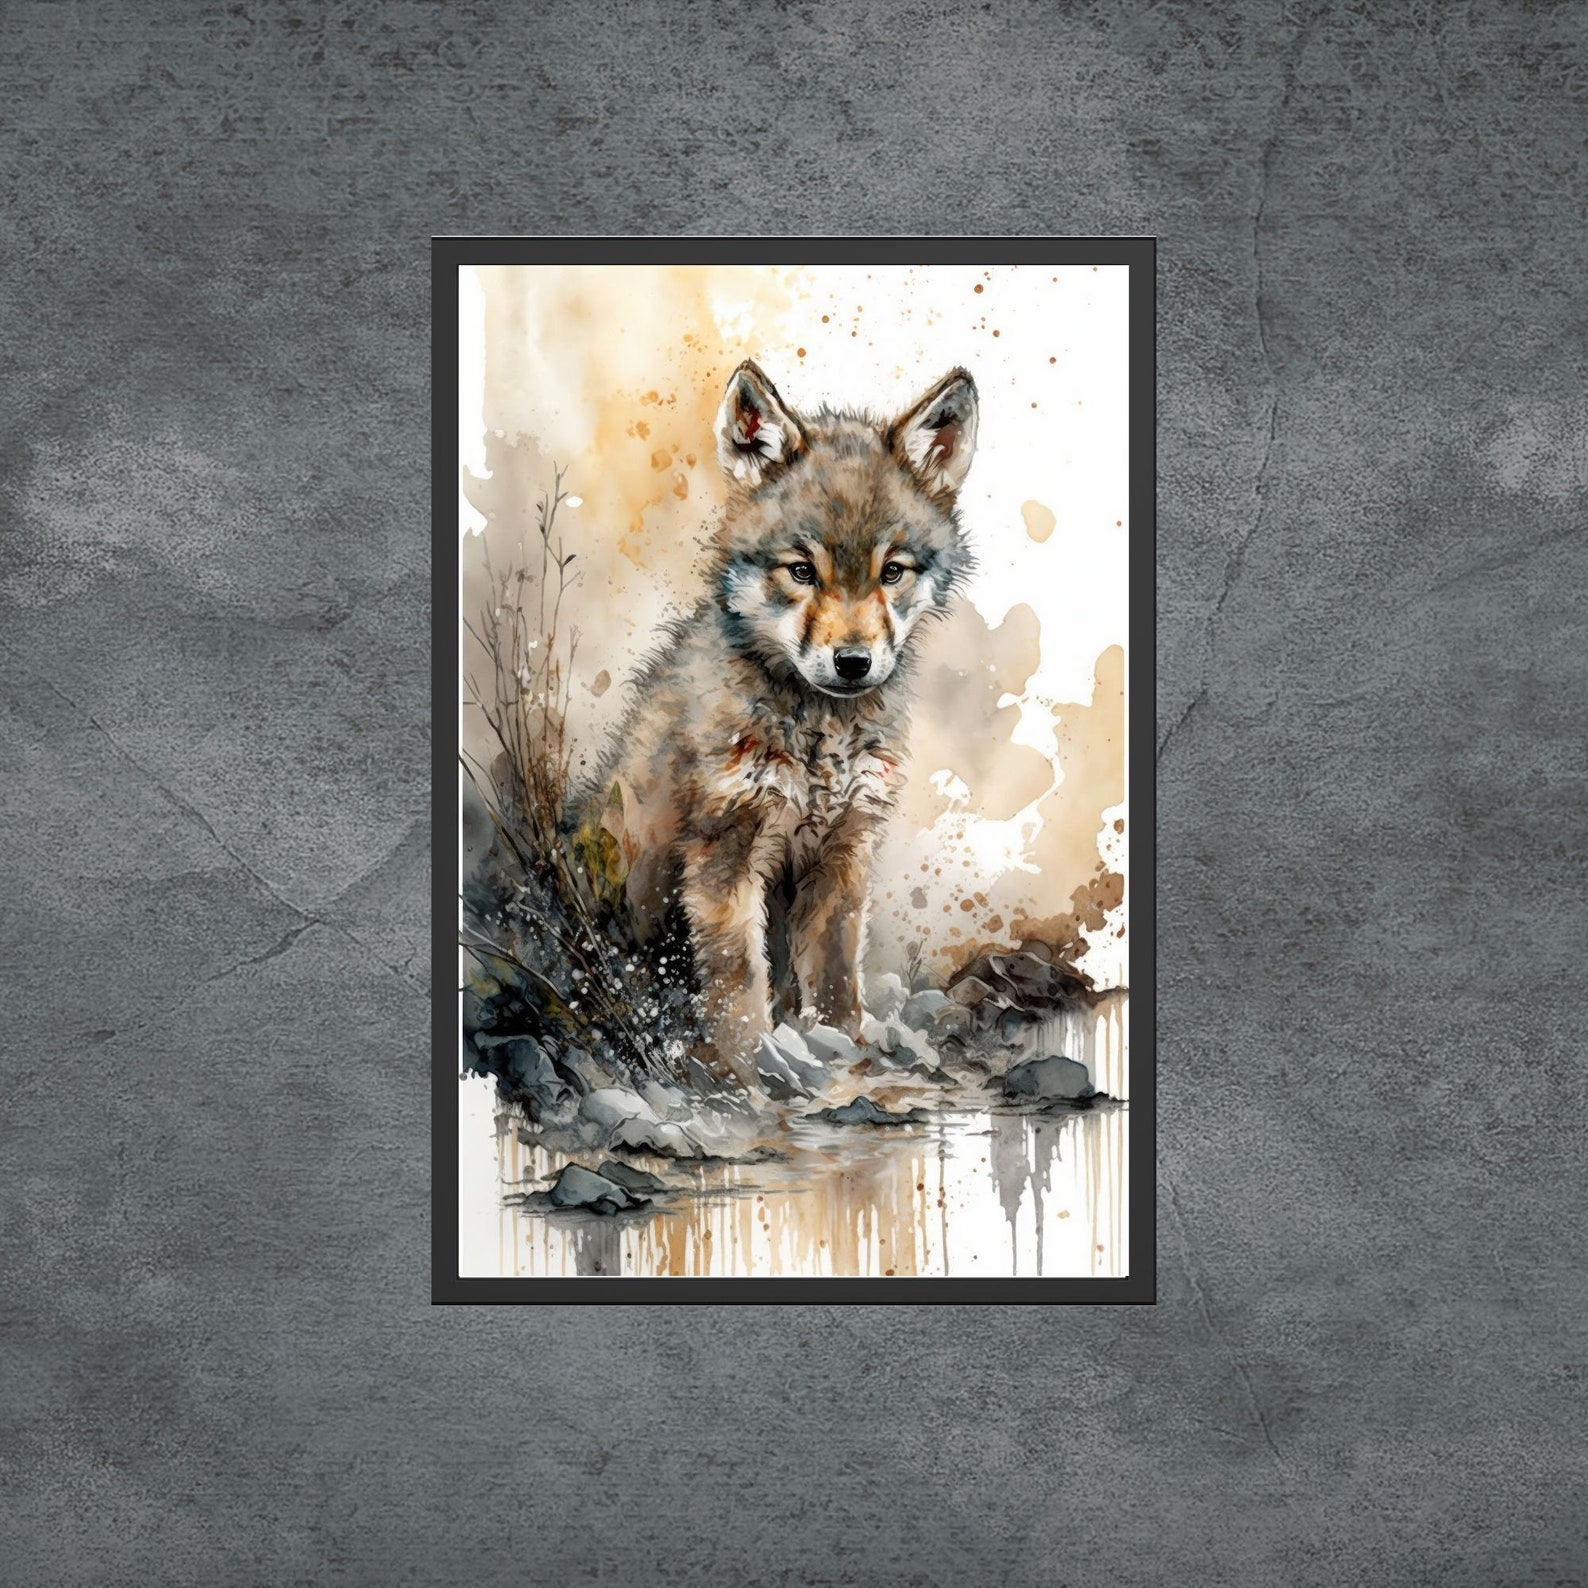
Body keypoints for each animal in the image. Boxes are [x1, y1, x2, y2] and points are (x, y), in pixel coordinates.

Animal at [594, 360, 978, 1084]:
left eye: (892, 572)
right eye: (801, 571)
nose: (853, 662)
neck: (821, 737)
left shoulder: (844, 854)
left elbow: (834, 982)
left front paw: (844, 1053)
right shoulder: (723, 855)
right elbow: (739, 987)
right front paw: (746, 1075)